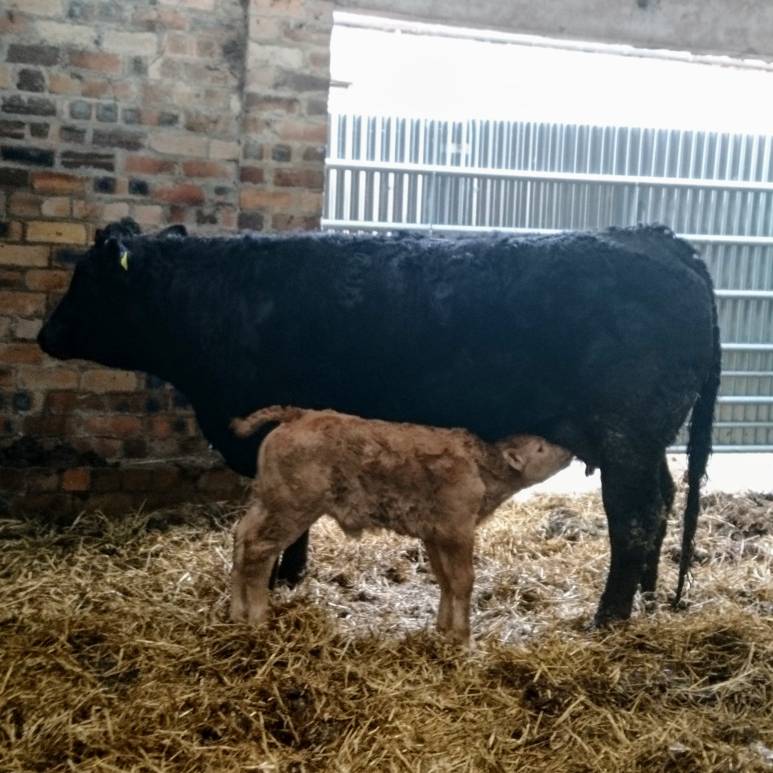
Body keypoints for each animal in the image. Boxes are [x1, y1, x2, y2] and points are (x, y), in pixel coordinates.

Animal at [229, 406, 573, 644]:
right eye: (540, 448)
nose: (570, 451)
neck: (482, 468)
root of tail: (299, 414)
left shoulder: (436, 533)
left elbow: (445, 579)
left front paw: (444, 630)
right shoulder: (458, 529)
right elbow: (464, 580)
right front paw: (464, 640)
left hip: (269, 501)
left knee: (241, 539)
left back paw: (236, 613)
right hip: (292, 507)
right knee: (259, 551)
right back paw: (258, 618)